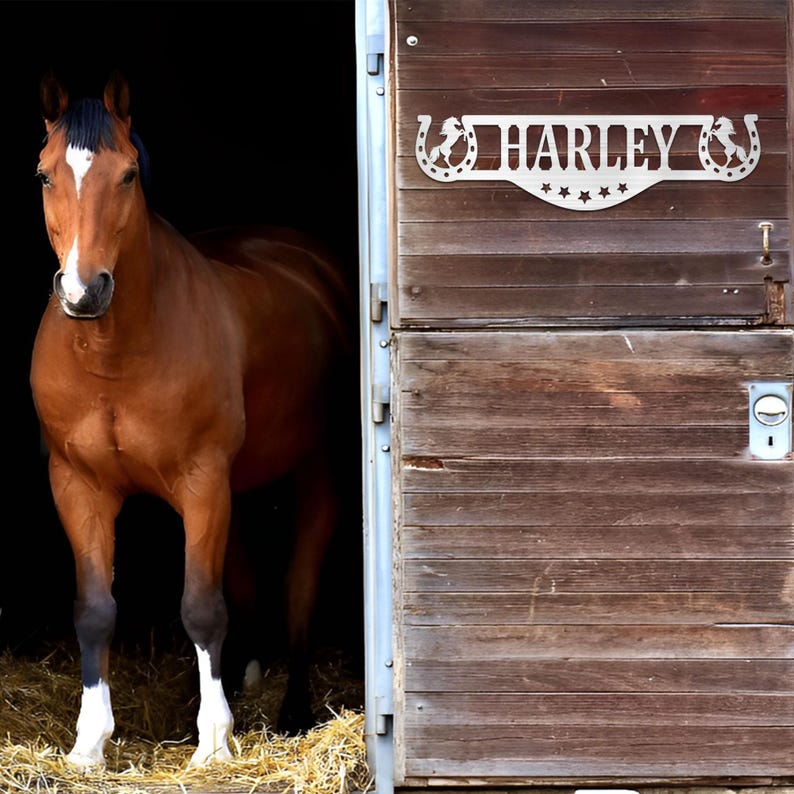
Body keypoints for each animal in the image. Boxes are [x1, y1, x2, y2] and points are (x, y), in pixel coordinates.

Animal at [29, 71, 354, 768]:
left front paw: (213, 741)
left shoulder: (202, 481)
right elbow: (94, 609)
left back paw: (293, 710)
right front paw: (88, 743)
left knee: (300, 583)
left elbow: (202, 607)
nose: (83, 291)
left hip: (311, 471)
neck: (115, 356)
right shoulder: (77, 485)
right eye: (43, 174)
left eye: (127, 175)